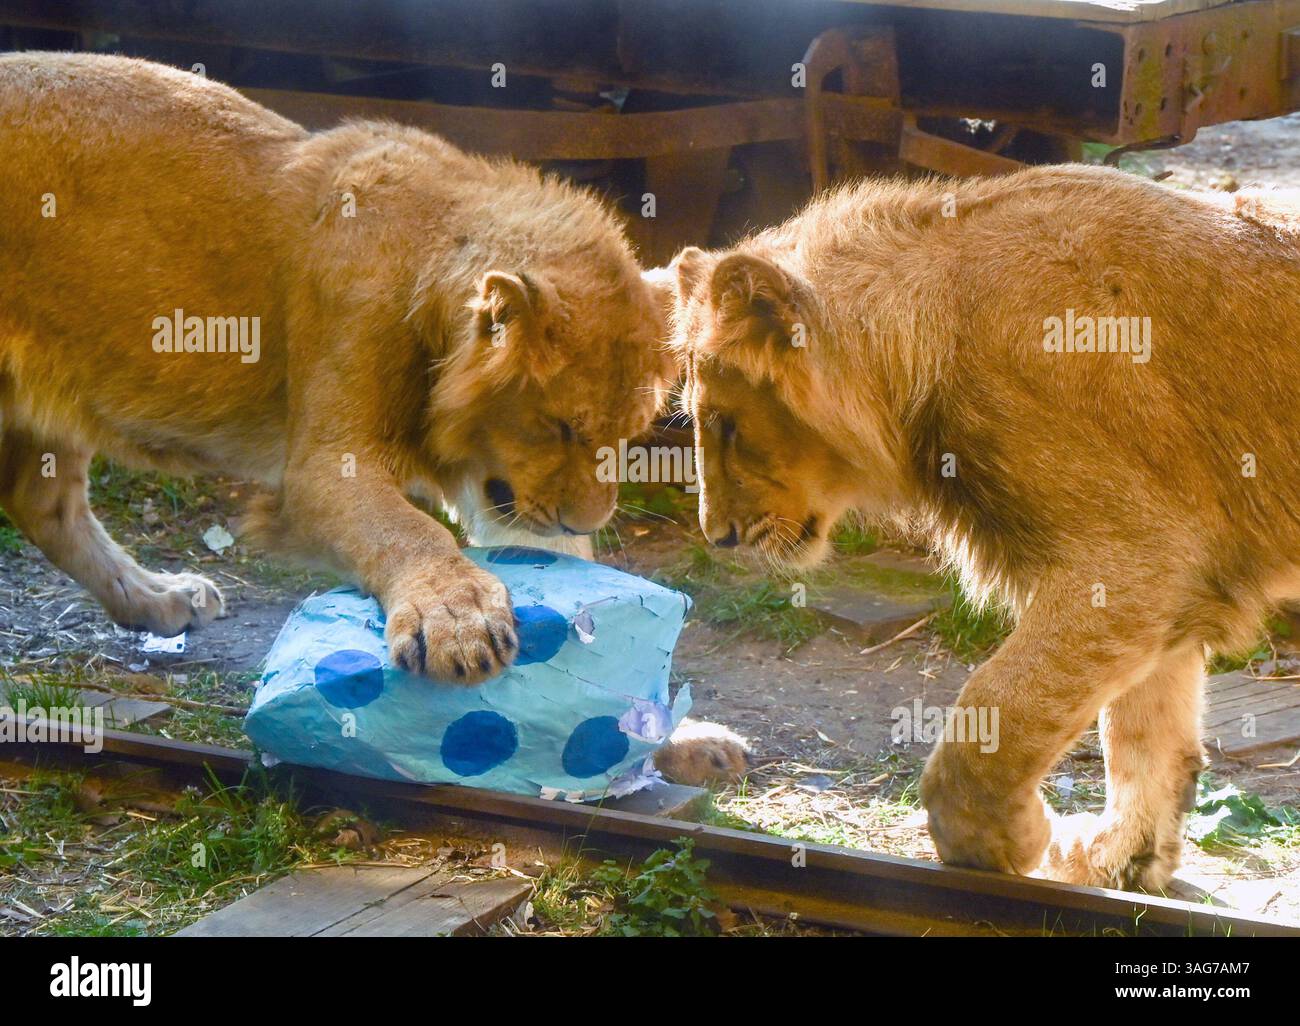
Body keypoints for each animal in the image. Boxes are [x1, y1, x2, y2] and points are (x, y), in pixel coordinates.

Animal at [0, 52, 746, 784]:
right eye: (562, 425)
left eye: (627, 433)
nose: (584, 521)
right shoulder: (323, 469)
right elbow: (409, 530)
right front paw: (457, 618)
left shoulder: (509, 496)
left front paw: (671, 736)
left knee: (44, 504)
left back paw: (159, 598)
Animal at [660, 163, 1300, 890]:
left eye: (727, 426)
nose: (718, 535)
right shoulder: (1167, 574)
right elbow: (1143, 733)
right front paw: (1118, 860)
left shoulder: (1135, 561)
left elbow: (1001, 706)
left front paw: (994, 841)